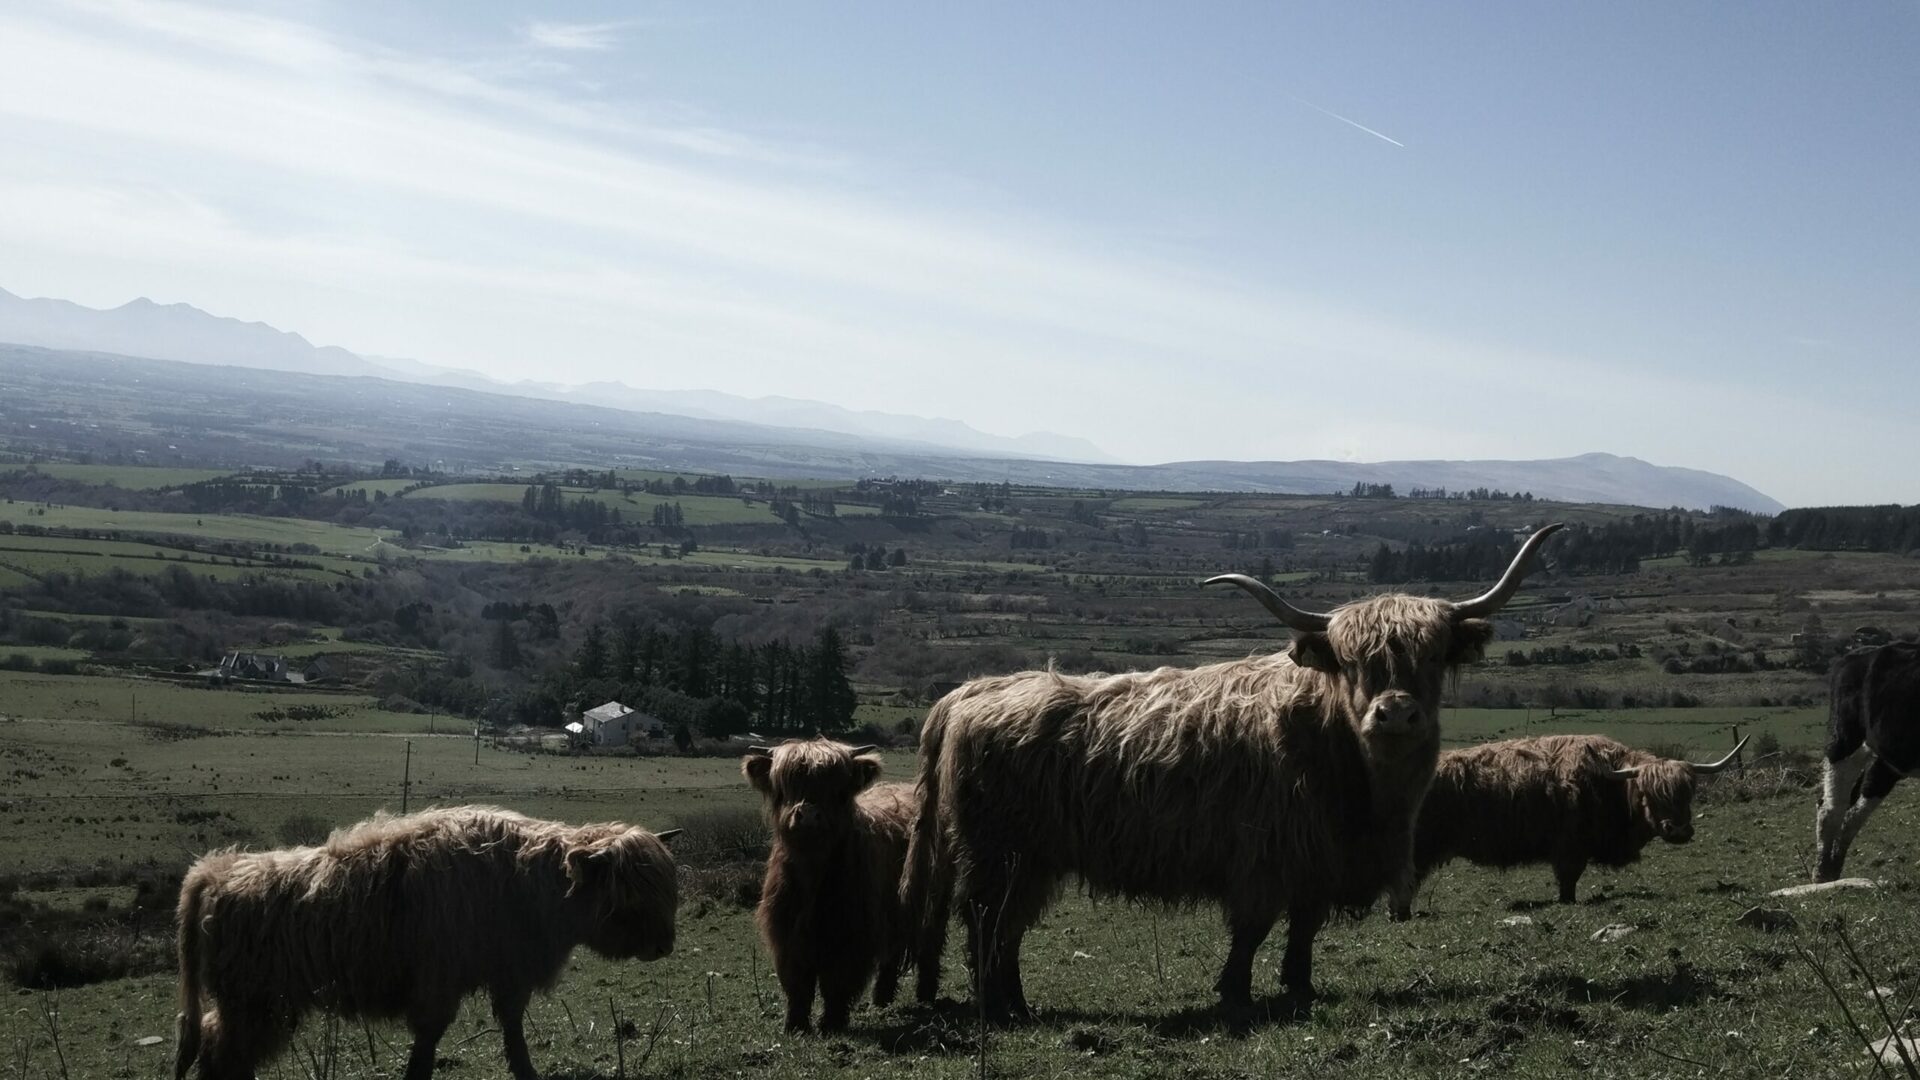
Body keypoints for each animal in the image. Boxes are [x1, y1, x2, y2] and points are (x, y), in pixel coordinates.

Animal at [174, 806, 681, 1080]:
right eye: (630, 895)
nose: (665, 946)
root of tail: (217, 870)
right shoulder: (441, 983)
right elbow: (429, 1042)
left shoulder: (507, 974)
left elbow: (512, 1032)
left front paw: (525, 1070)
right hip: (255, 1004)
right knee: (222, 1053)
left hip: (251, 1005)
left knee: (219, 1048)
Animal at [744, 739, 916, 1033]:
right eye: (785, 785)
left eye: (838, 789)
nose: (808, 814)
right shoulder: (786, 935)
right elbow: (797, 984)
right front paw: (796, 1025)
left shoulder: (850, 935)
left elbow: (837, 982)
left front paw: (832, 1023)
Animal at [900, 524, 1565, 1020]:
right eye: (1353, 662)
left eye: (1430, 657)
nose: (1396, 711)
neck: (1368, 791)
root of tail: (966, 693)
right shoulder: (1262, 856)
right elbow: (1252, 929)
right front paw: (1236, 993)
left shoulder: (1318, 861)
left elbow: (1304, 928)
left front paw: (1300, 986)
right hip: (998, 854)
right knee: (986, 924)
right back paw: (1001, 1007)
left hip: (1031, 861)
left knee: (1007, 930)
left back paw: (1017, 1002)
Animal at [1388, 732, 1747, 918]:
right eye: (1649, 794)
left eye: (1689, 793)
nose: (1679, 830)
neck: (1610, 785)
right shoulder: (1570, 847)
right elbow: (1568, 881)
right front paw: (1568, 903)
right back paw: (1401, 915)